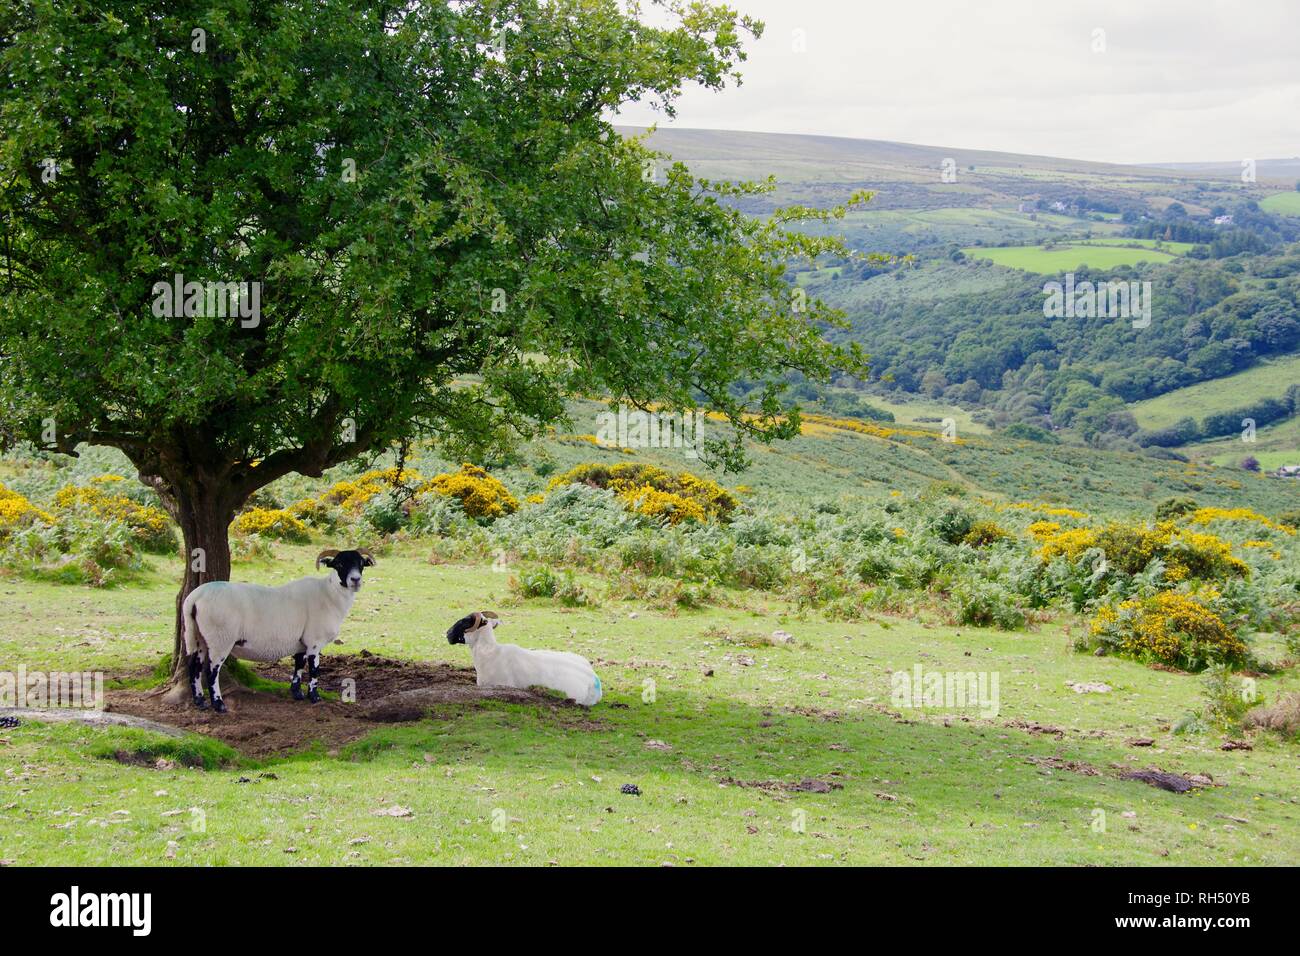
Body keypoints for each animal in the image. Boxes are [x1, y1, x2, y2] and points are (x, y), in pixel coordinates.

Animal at [181, 548, 375, 713]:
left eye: (360, 563)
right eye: (340, 564)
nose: (355, 580)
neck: (329, 594)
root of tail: (195, 597)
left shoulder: (300, 643)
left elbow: (299, 666)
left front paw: (297, 694)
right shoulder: (314, 641)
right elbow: (314, 670)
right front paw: (315, 697)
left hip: (200, 637)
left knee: (195, 667)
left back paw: (200, 701)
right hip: (220, 639)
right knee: (211, 671)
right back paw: (219, 705)